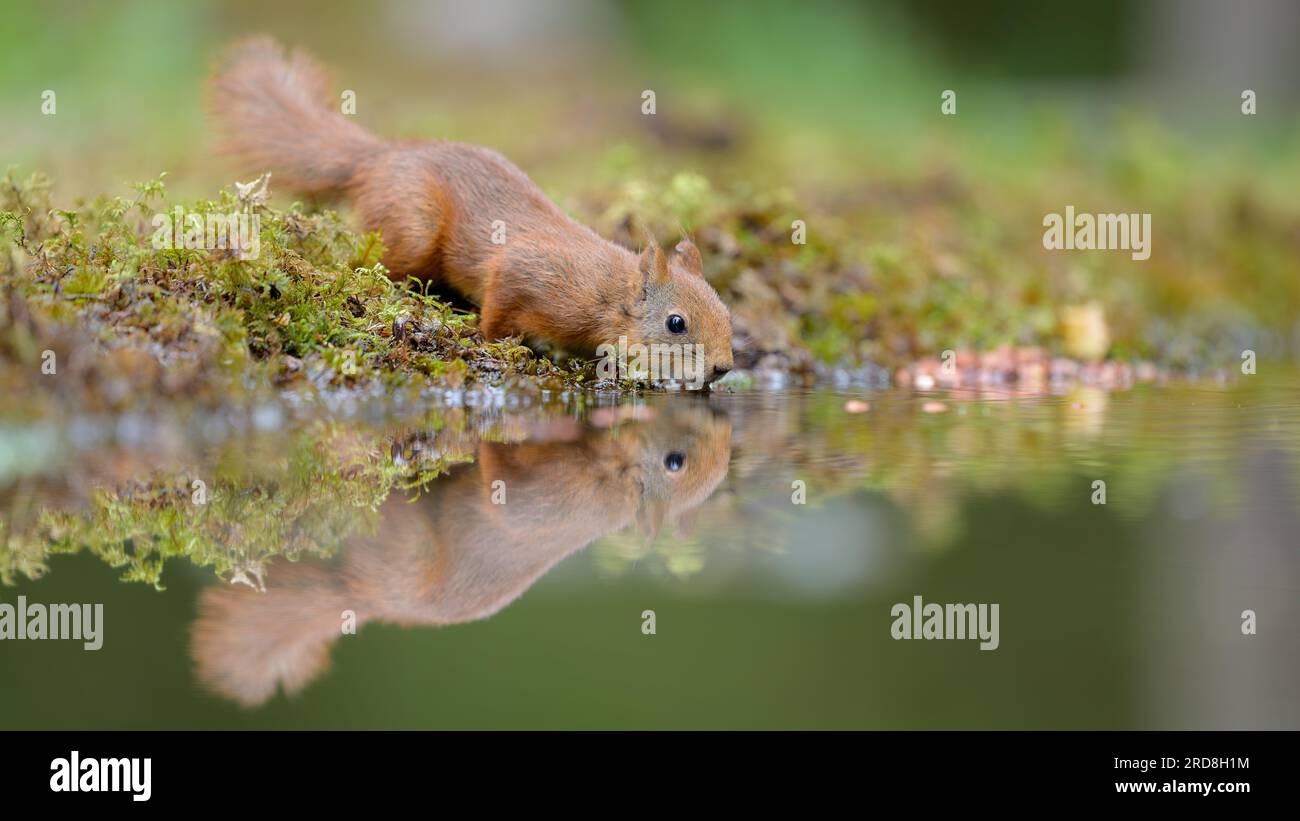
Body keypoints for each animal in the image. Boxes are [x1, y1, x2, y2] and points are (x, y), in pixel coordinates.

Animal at [208, 37, 734, 382]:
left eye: (727, 311)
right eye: (676, 323)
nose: (723, 367)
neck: (608, 295)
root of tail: (381, 156)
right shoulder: (531, 273)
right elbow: (498, 306)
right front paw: (492, 340)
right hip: (414, 227)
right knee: (370, 262)